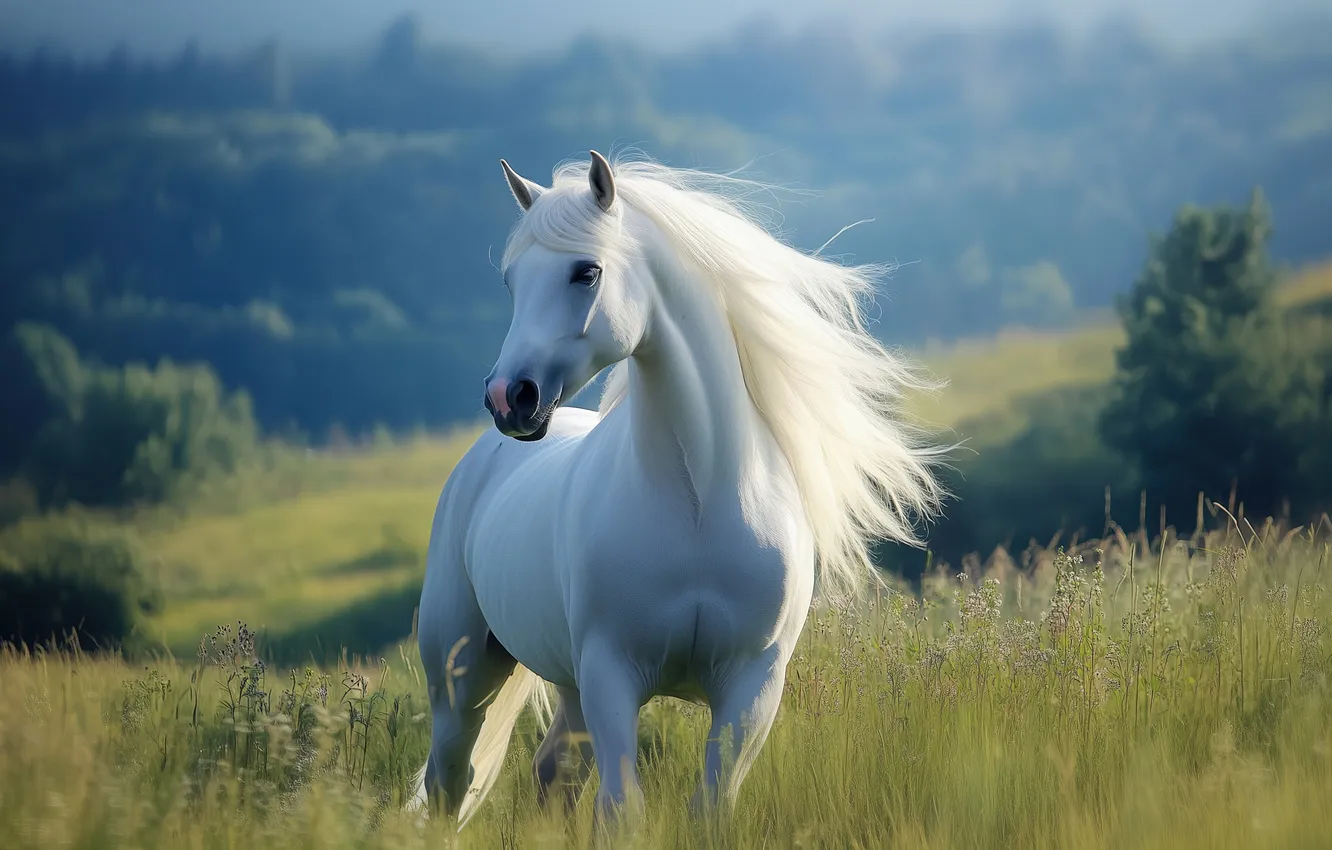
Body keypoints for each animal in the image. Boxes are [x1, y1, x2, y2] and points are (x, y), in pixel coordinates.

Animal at [408, 150, 949, 830]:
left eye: (586, 271)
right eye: (511, 281)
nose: (510, 398)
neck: (699, 505)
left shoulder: (751, 687)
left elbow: (710, 806)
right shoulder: (611, 674)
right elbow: (623, 810)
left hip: (567, 686)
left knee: (552, 773)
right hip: (463, 682)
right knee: (450, 784)